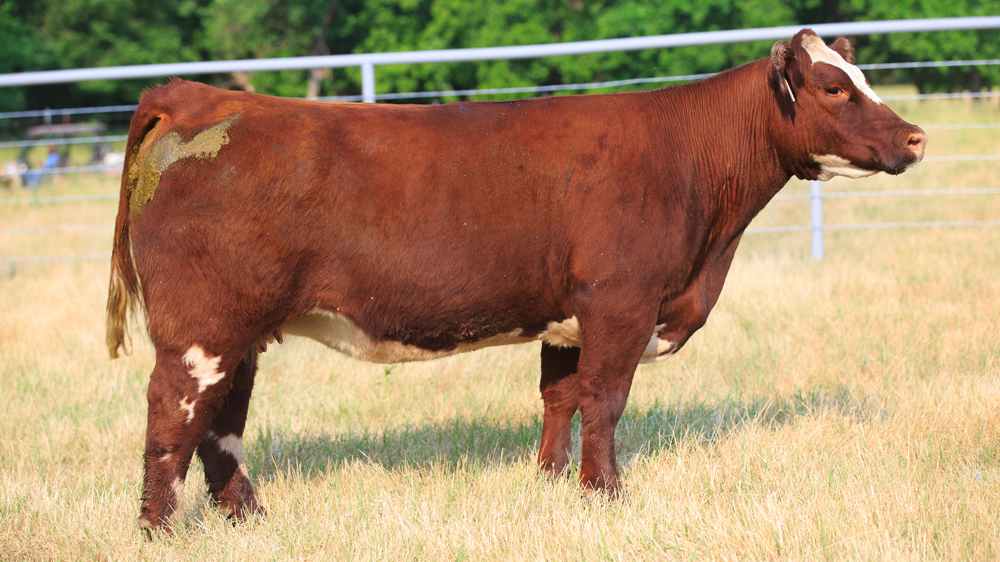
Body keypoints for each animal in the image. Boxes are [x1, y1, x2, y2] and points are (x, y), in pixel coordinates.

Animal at [106, 29, 925, 534]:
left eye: (861, 80)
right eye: (834, 89)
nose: (915, 137)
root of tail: (200, 96)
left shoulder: (568, 317)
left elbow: (560, 398)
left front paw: (554, 483)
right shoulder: (620, 302)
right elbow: (605, 400)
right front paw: (606, 495)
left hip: (240, 329)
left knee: (221, 425)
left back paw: (250, 519)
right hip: (201, 327)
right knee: (173, 414)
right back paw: (157, 529)